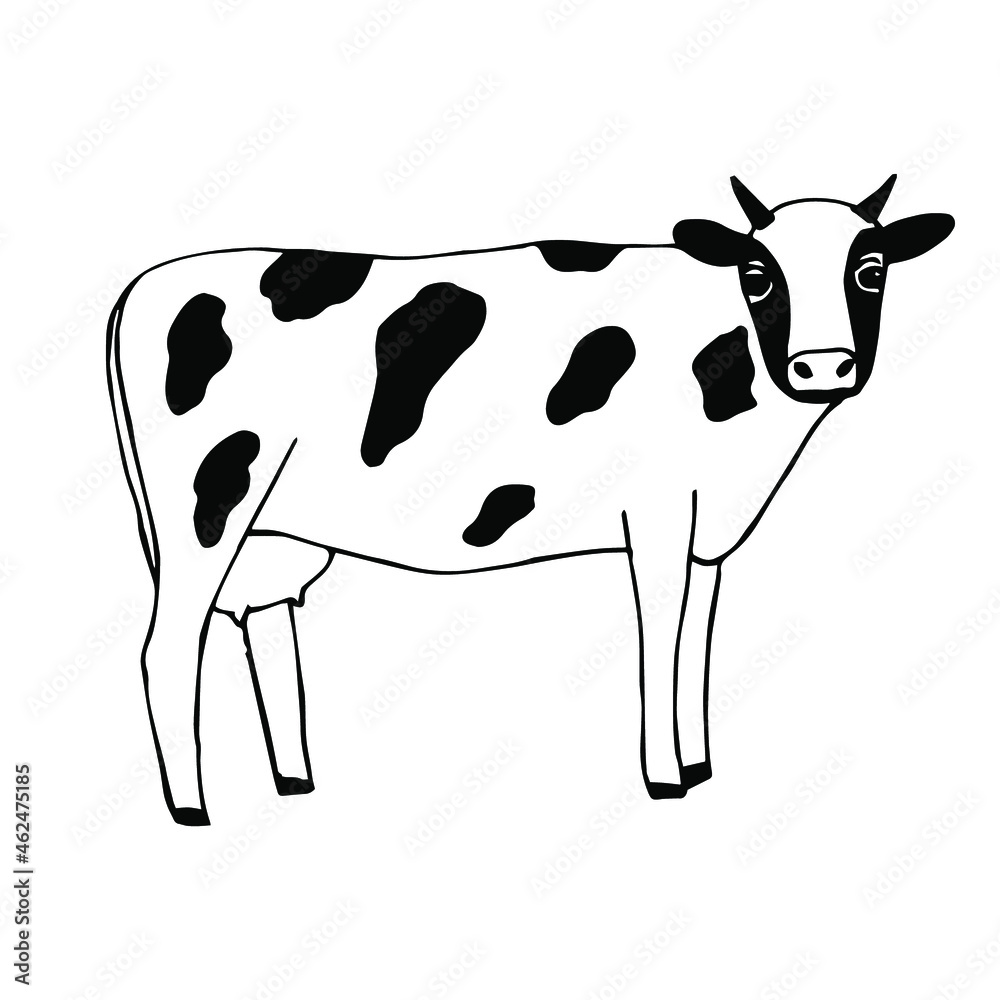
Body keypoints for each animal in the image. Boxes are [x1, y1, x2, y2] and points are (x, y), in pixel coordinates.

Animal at [107, 175, 953, 825]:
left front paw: (699, 762)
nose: (823, 366)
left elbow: (696, 644)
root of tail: (143, 285)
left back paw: (295, 781)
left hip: (276, 536)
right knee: (167, 648)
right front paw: (664, 779)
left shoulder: (707, 533)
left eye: (871, 268)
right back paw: (192, 808)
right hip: (204, 509)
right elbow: (661, 639)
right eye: (758, 271)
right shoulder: (656, 515)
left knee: (263, 622)